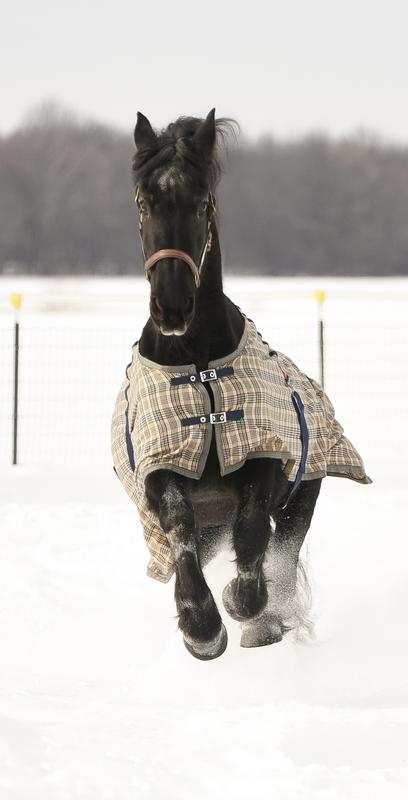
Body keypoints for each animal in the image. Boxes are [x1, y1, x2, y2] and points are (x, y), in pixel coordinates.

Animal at [112, 109, 369, 660]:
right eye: (144, 202)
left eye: (201, 202)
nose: (172, 307)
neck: (196, 363)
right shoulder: (161, 465)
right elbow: (180, 526)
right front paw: (201, 626)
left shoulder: (263, 459)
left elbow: (252, 534)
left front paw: (244, 607)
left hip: (303, 496)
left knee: (283, 548)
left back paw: (267, 617)